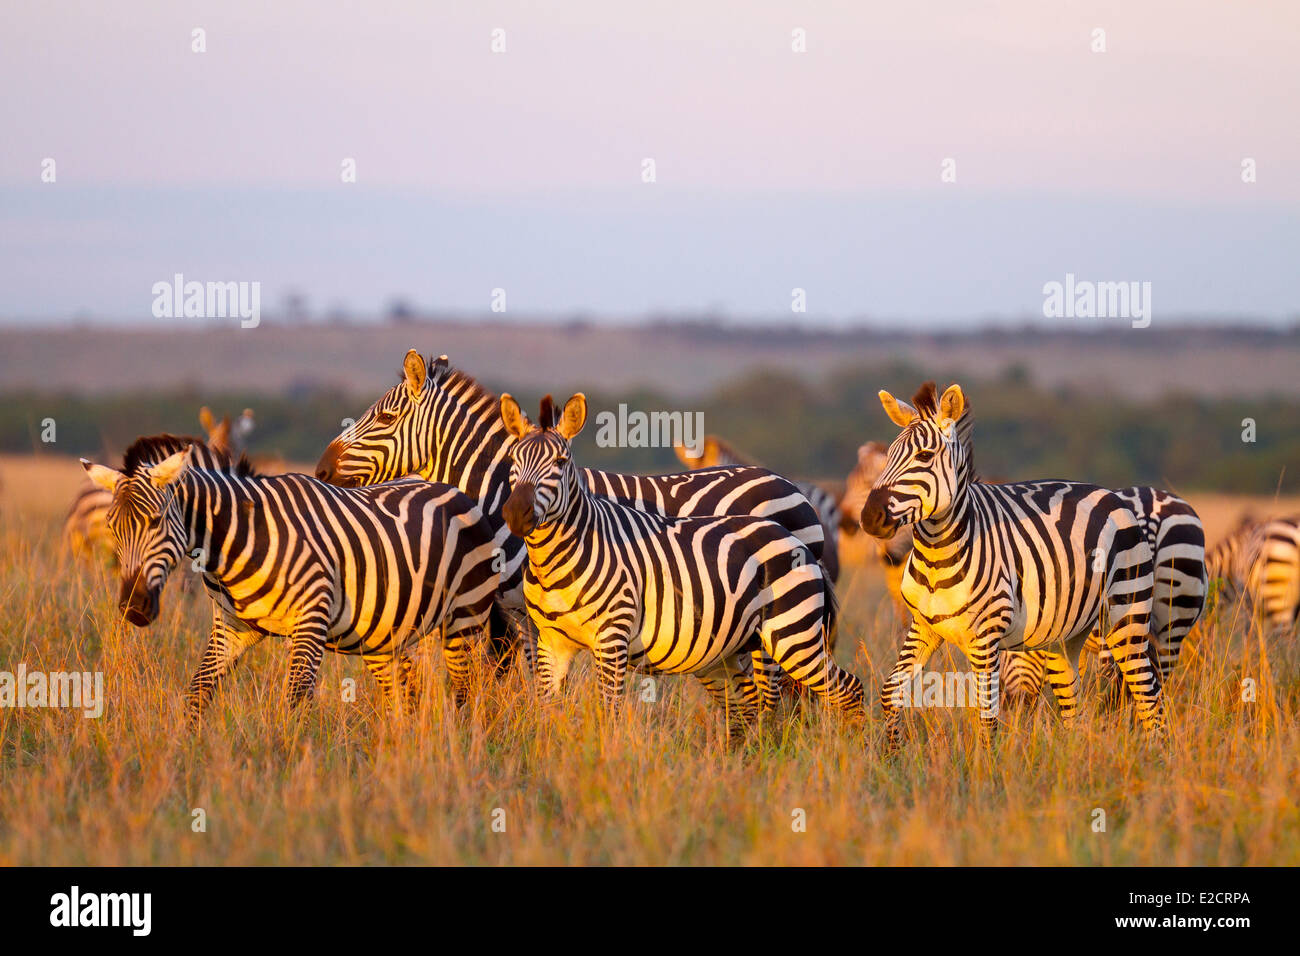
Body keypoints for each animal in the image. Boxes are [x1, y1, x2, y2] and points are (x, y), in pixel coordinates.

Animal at [81, 434, 500, 721]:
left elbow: (293, 703)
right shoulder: (231, 627)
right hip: (385, 634)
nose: (133, 608)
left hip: (464, 620)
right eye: (112, 528)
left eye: (155, 522)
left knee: (466, 692)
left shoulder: (311, 617)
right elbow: (198, 693)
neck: (239, 537)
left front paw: (288, 762)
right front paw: (189, 752)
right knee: (407, 695)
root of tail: (454, 490)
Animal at [859, 381, 1166, 745]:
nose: (869, 517)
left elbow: (985, 715)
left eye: (924, 457)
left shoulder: (985, 637)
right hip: (1065, 636)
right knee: (1074, 706)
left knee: (1147, 692)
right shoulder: (924, 625)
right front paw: (892, 753)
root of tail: (1110, 494)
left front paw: (983, 760)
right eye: (890, 455)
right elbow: (891, 691)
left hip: (1126, 615)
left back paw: (1158, 753)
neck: (936, 556)